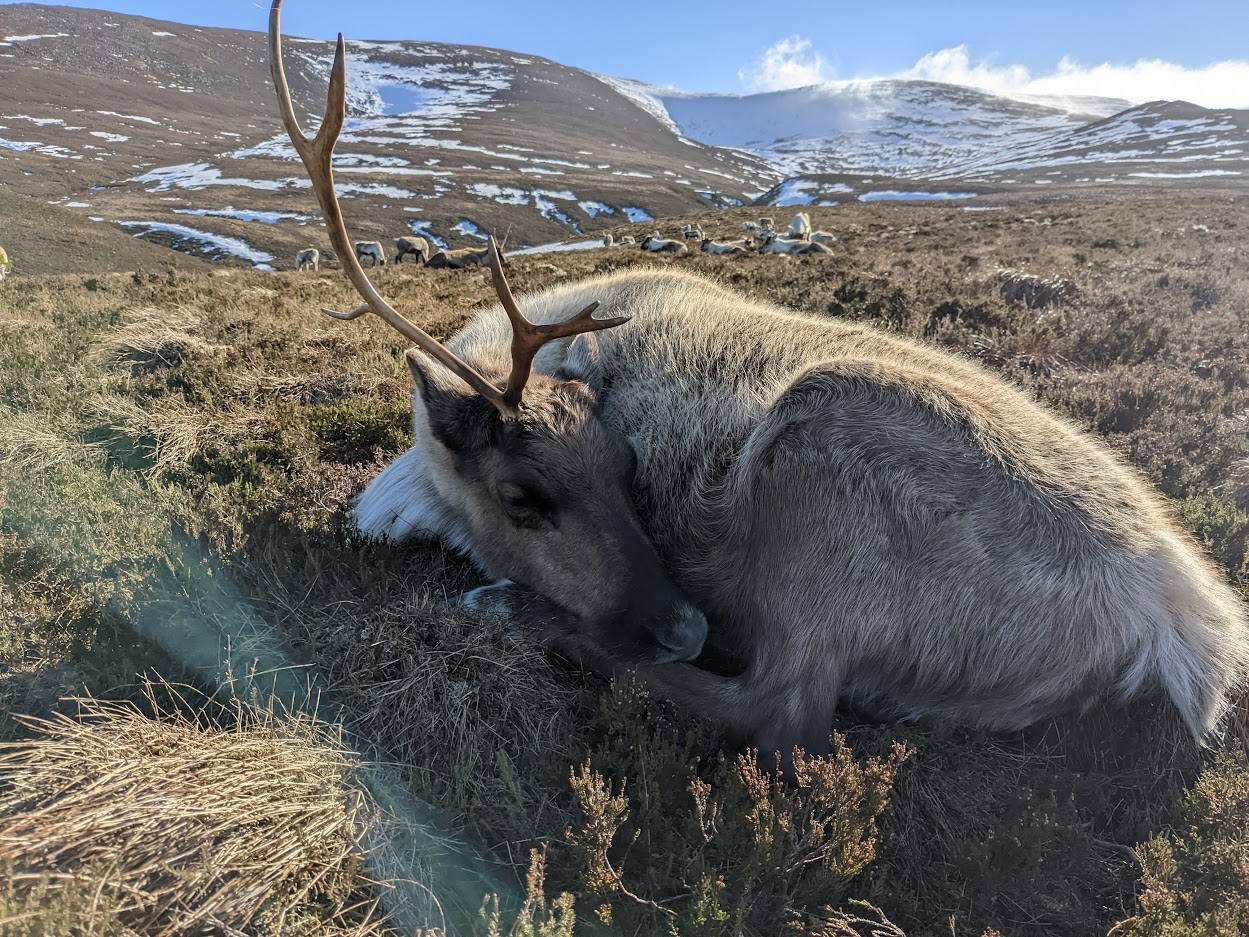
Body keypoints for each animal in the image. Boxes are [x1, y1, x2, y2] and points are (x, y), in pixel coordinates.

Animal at [269, 0, 1249, 762]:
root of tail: (1182, 624)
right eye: (521, 496)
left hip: (817, 448)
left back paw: (515, 610)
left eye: (627, 468)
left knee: (779, 712)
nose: (687, 627)